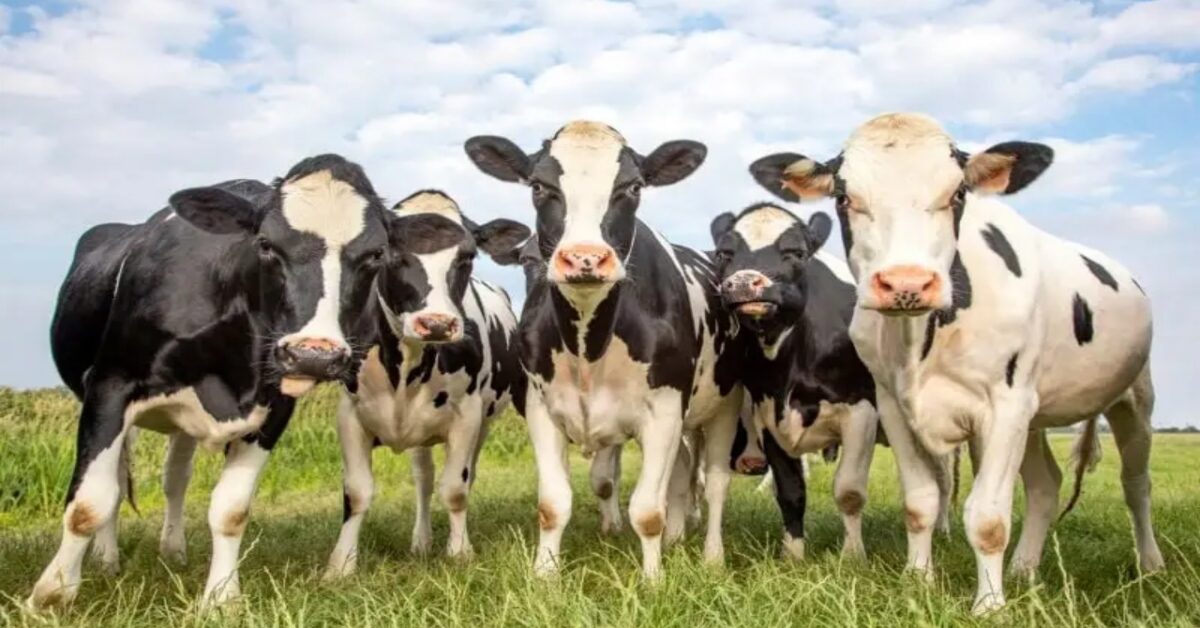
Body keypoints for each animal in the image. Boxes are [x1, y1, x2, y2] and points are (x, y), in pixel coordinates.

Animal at [30, 155, 391, 610]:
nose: (314, 354)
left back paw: (173, 550)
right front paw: (51, 595)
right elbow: (88, 503)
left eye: (376, 254)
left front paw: (221, 598)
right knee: (118, 479)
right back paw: (108, 559)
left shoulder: (273, 408)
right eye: (266, 244)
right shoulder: (110, 386)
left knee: (174, 479)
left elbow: (231, 510)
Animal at [323, 190, 530, 576]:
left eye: (468, 255)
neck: (406, 368)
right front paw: (341, 564)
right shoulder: (350, 414)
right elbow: (357, 491)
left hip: (481, 422)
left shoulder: (467, 415)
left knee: (461, 476)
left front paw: (460, 552)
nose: (436, 324)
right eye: (387, 253)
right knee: (423, 479)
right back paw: (421, 541)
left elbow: (456, 488)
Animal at [464, 121, 745, 579]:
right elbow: (553, 503)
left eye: (632, 187)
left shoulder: (665, 411)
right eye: (539, 186)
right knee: (683, 471)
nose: (585, 258)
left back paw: (712, 557)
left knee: (716, 483)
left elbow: (648, 509)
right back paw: (677, 538)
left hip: (725, 404)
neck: (588, 344)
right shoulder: (541, 409)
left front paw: (653, 580)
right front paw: (545, 576)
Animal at [710, 203, 878, 560]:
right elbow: (790, 490)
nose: (742, 283)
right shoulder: (768, 417)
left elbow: (849, 490)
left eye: (797, 253)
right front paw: (793, 555)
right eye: (724, 253)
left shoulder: (861, 409)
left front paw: (853, 556)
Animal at [749, 112, 1163, 613]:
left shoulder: (1004, 406)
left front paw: (989, 605)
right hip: (1035, 417)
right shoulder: (893, 405)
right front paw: (917, 580)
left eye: (958, 193)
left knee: (1136, 483)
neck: (919, 340)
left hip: (1133, 399)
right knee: (1045, 485)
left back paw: (1150, 564)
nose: (906, 283)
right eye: (845, 197)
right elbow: (920, 501)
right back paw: (1024, 568)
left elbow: (987, 517)